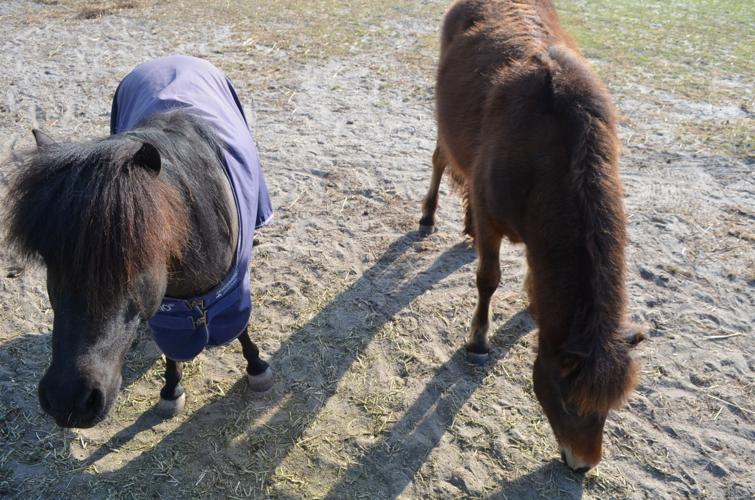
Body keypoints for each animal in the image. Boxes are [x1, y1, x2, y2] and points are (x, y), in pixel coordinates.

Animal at [5, 56, 275, 429]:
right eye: (48, 258)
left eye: (136, 258)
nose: (68, 401)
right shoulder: (168, 315)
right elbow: (172, 353)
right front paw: (171, 390)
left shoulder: (233, 295)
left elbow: (242, 329)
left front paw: (257, 367)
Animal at [419, 0, 644, 472]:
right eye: (570, 401)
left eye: (610, 409)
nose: (583, 465)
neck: (546, 153)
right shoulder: (494, 221)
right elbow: (488, 279)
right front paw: (478, 342)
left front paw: (530, 304)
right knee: (439, 159)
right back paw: (427, 216)